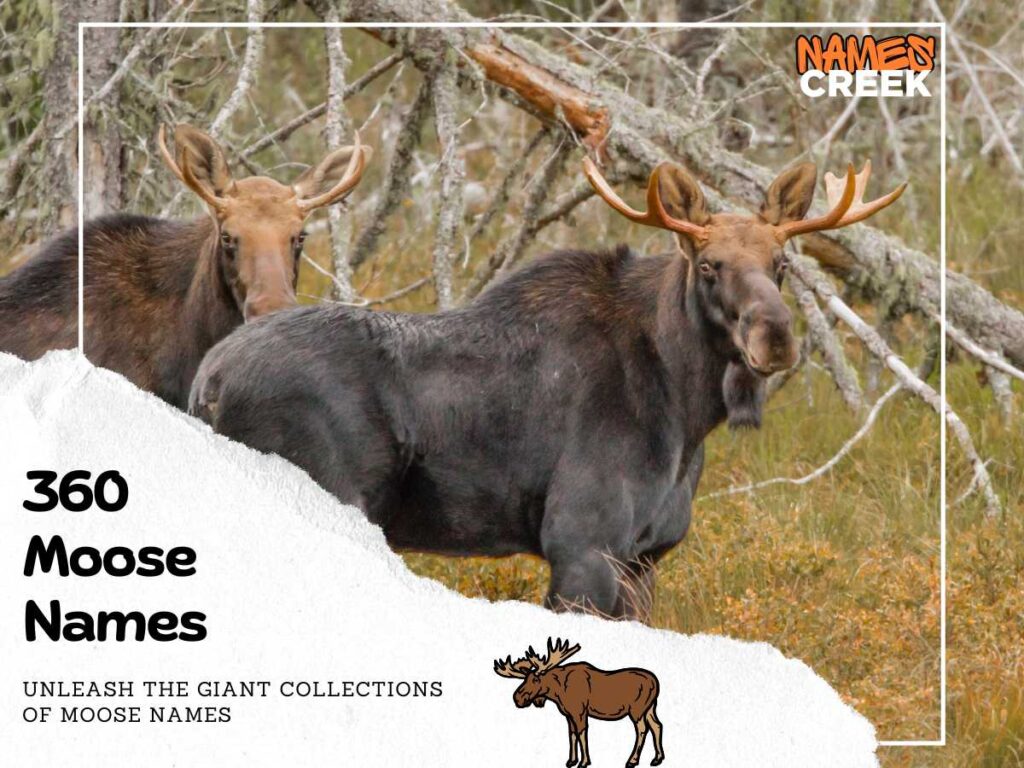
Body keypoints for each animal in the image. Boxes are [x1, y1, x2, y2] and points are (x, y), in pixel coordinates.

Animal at [188, 155, 904, 617]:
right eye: (709, 265)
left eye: (781, 264)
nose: (775, 336)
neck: (685, 411)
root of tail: (208, 382)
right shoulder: (582, 547)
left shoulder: (645, 560)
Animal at [494, 638, 663, 768]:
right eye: (524, 679)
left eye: (535, 679)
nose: (517, 698)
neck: (558, 692)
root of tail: (656, 682)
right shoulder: (568, 714)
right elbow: (572, 735)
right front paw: (571, 761)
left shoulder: (579, 711)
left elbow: (582, 733)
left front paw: (584, 762)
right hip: (650, 708)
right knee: (657, 726)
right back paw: (657, 758)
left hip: (637, 709)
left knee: (642, 729)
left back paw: (632, 760)